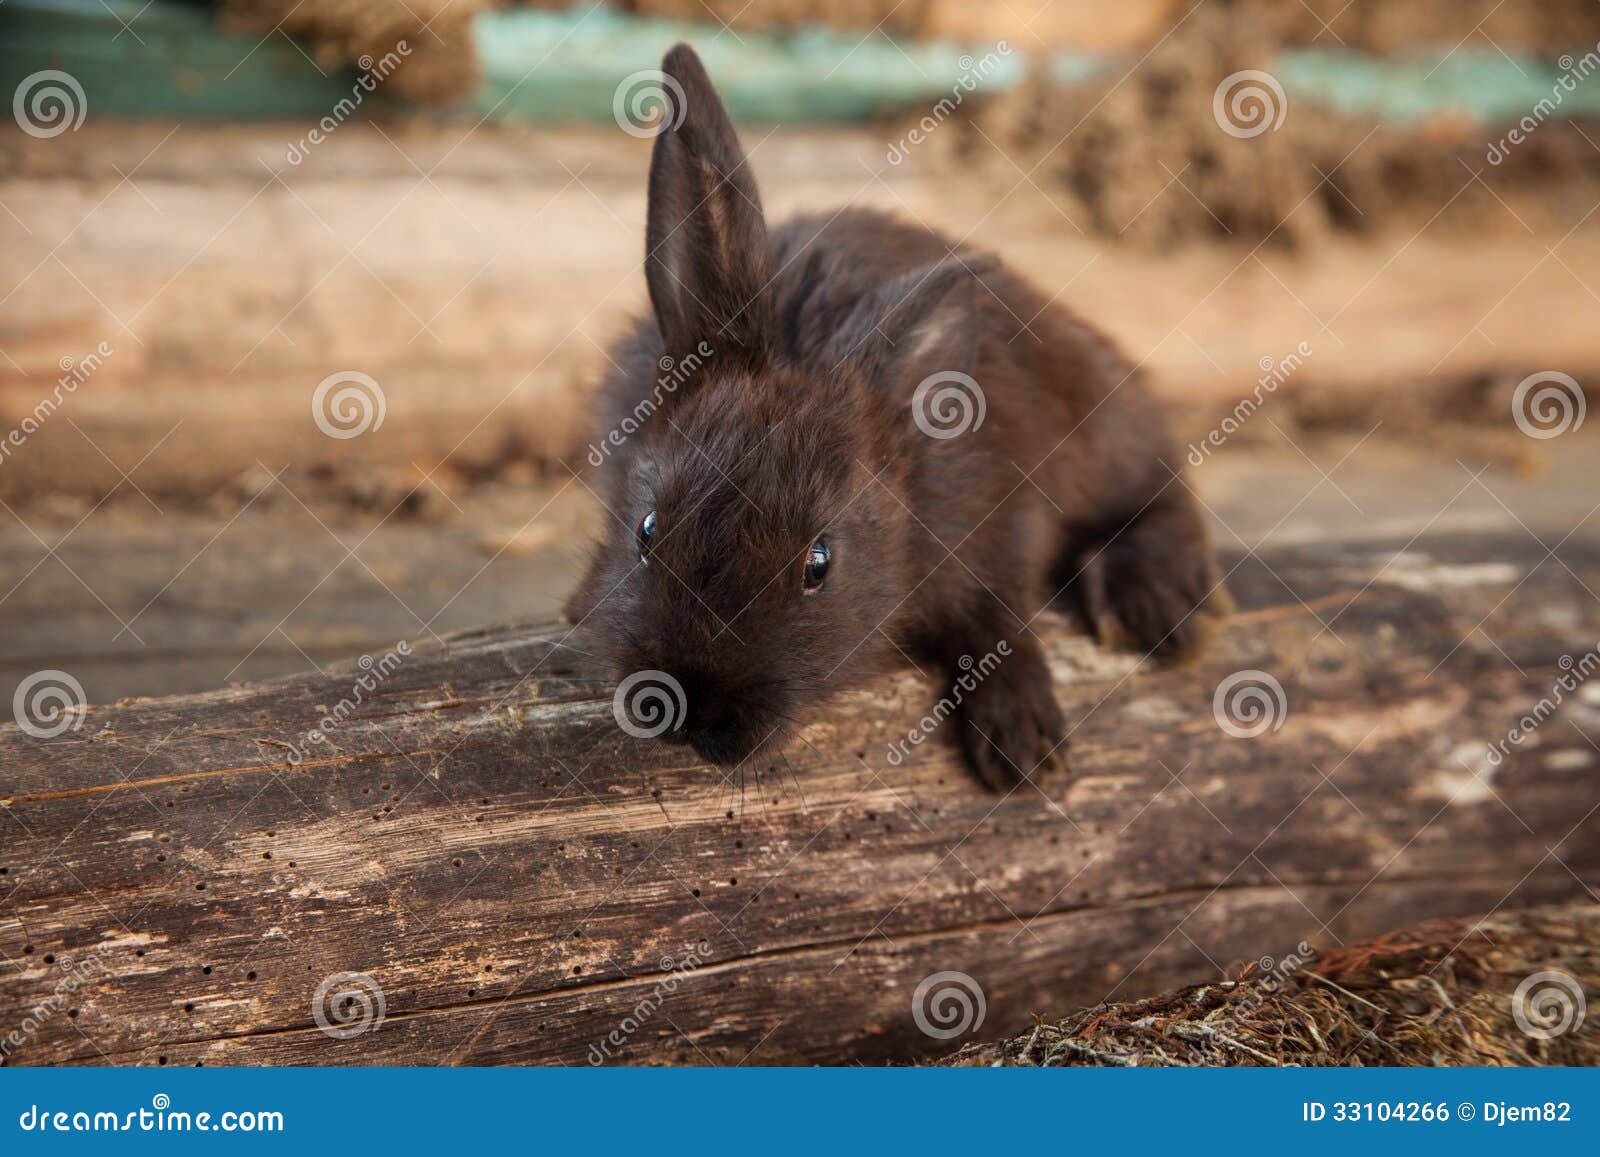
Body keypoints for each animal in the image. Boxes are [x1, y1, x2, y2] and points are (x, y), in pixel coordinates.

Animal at [565, 43, 1225, 791]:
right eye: (646, 531)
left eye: (819, 565)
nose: (684, 708)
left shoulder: (1001, 526)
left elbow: (998, 624)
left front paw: (1023, 745)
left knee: (1163, 483)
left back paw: (1160, 605)